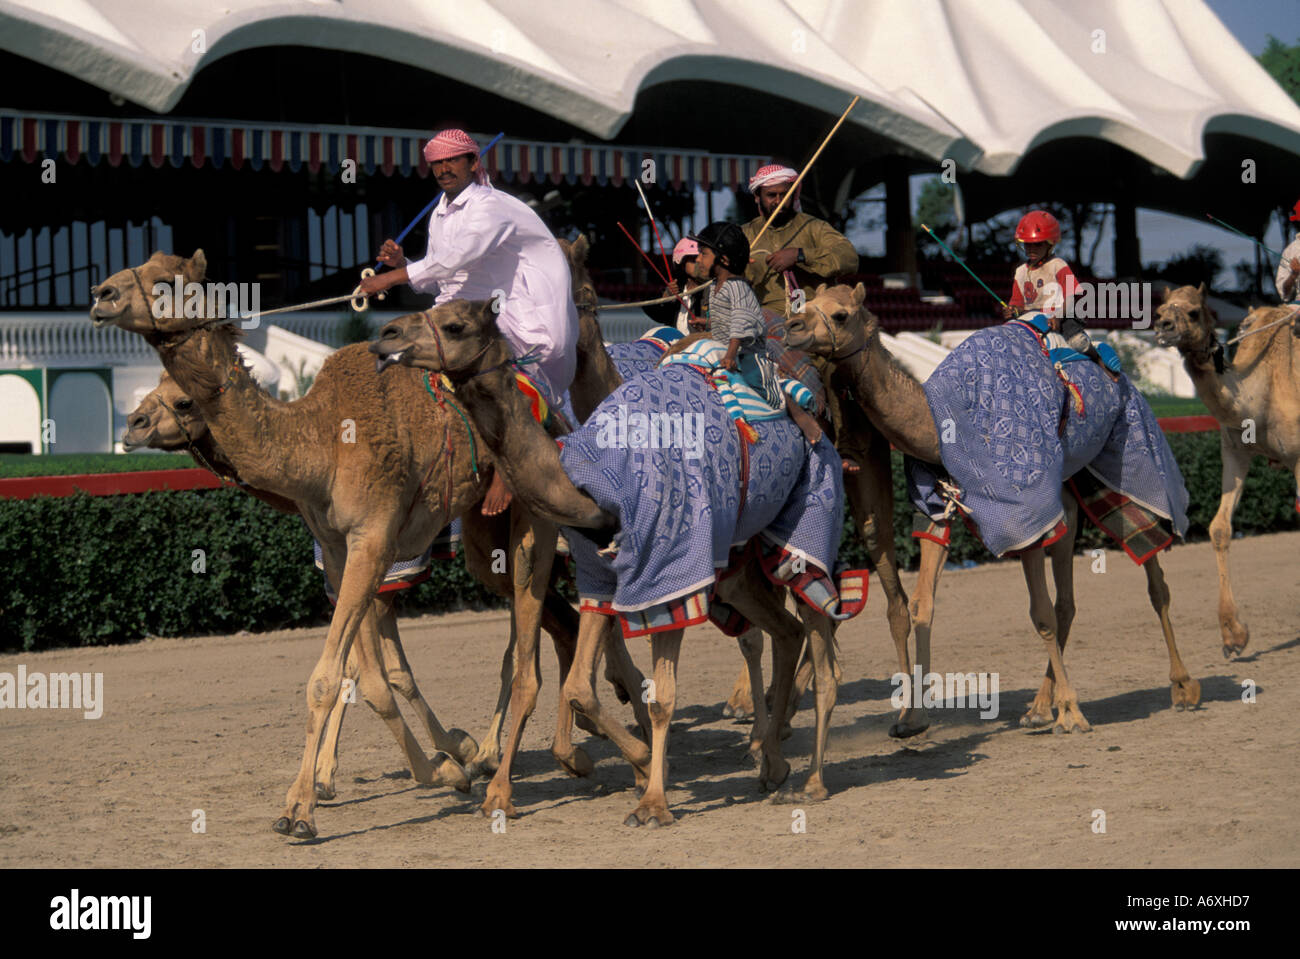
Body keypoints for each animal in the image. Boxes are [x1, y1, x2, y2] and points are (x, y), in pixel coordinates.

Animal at [91, 251, 605, 838]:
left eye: (164, 281)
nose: (102, 295)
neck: (319, 444)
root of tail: (553, 411)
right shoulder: (338, 553)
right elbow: (366, 678)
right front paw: (437, 765)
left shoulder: (374, 543)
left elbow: (341, 677)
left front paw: (306, 806)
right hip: (482, 535)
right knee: (556, 626)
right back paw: (569, 750)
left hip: (532, 517)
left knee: (531, 648)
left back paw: (512, 774)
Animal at [372, 300, 847, 824]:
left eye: (455, 324)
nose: (386, 334)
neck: (596, 484)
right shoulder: (598, 573)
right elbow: (577, 682)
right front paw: (625, 765)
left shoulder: (670, 569)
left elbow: (658, 695)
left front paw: (653, 799)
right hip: (737, 565)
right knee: (786, 632)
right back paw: (772, 764)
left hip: (807, 522)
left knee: (818, 639)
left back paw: (812, 780)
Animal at [787, 283, 1202, 733]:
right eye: (806, 300)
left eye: (840, 314)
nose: (791, 326)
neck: (938, 421)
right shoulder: (937, 507)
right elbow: (922, 606)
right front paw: (912, 717)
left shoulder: (1025, 513)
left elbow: (1039, 613)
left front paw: (1074, 713)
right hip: (1071, 492)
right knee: (1069, 600)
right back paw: (1040, 707)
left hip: (1130, 451)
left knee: (1153, 572)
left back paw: (1182, 689)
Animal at [1154, 285, 1300, 658]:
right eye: (1159, 308)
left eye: (1193, 312)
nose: (1162, 327)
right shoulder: (1235, 452)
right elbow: (1219, 528)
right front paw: (1233, 636)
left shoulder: (1299, 456)